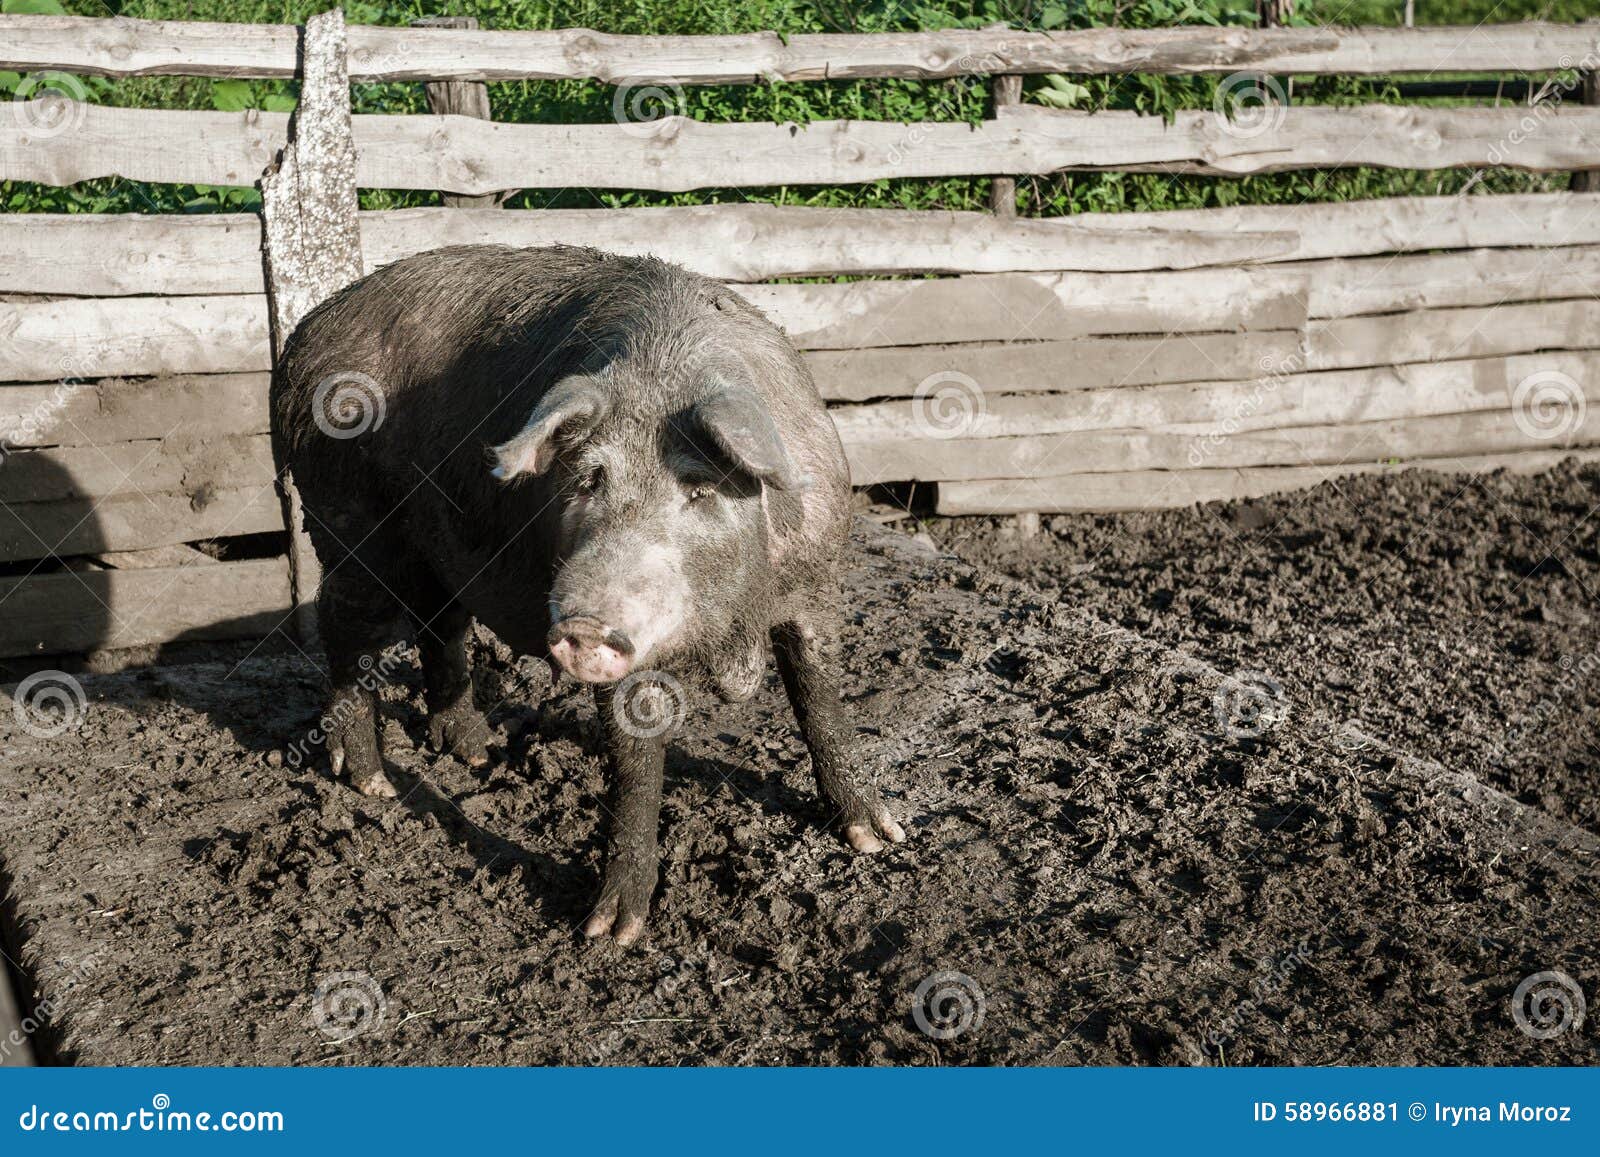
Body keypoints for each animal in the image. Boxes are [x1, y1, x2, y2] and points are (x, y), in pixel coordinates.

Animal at [270, 245, 905, 946]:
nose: (586, 625)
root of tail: (306, 332)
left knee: (443, 622)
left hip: (436, 545)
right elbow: (635, 765)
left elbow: (821, 700)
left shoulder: (815, 582)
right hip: (344, 518)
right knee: (345, 628)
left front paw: (880, 840)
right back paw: (374, 784)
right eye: (587, 481)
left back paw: (476, 753)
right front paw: (612, 933)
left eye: (699, 490)